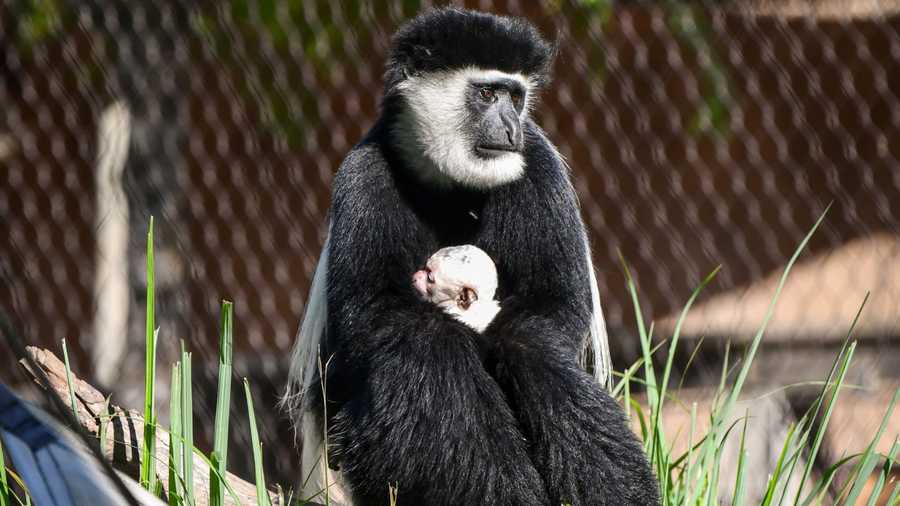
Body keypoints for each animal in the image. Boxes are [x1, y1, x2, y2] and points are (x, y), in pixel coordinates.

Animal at [284, 8, 658, 505]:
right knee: (427, 360)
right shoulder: (363, 177)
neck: (450, 184)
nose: (510, 127)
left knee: (541, 359)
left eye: (515, 97)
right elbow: (374, 318)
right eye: (485, 94)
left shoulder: (538, 166)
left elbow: (554, 306)